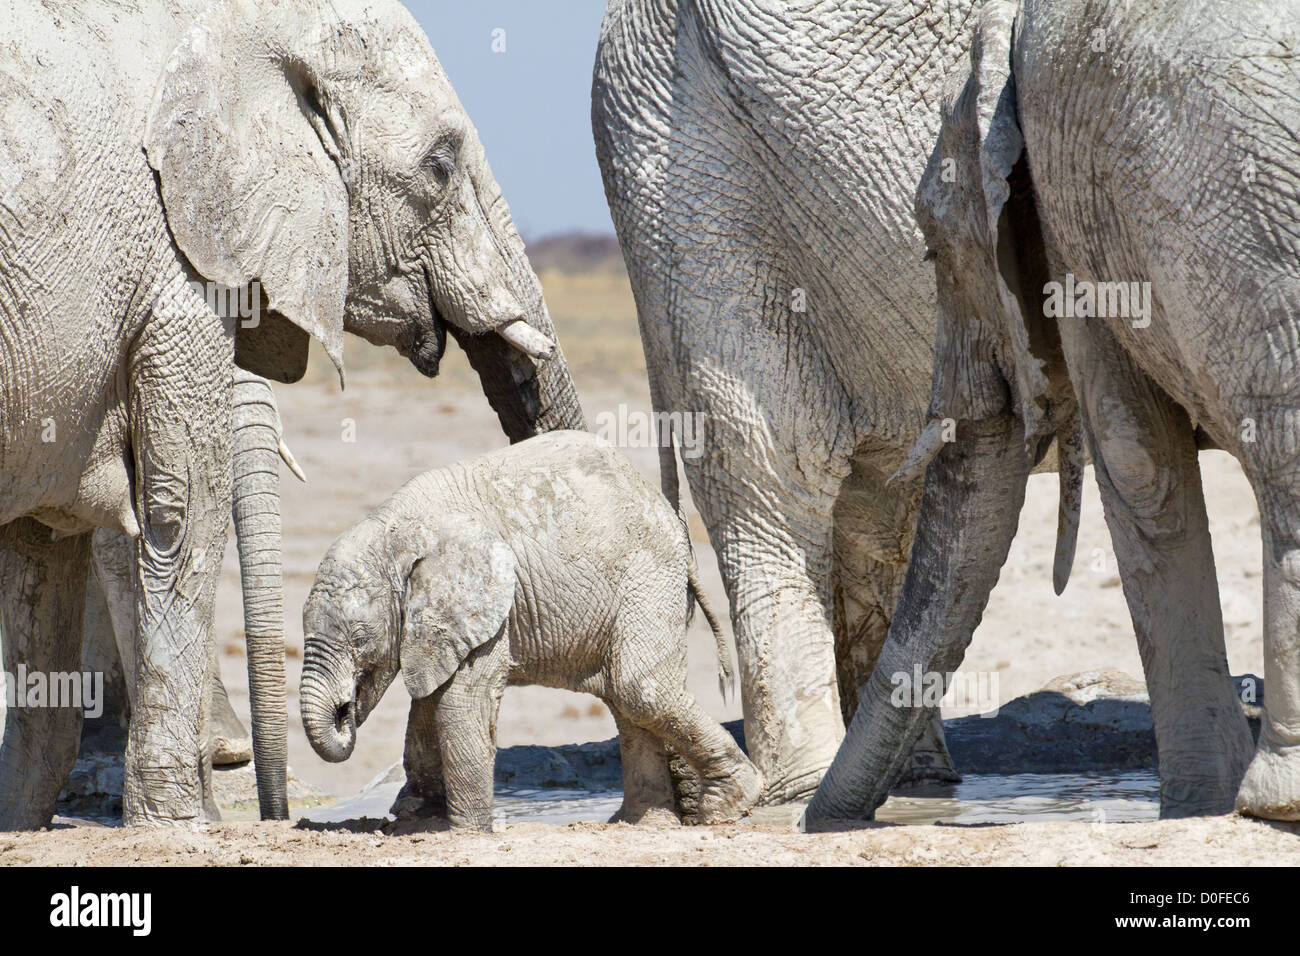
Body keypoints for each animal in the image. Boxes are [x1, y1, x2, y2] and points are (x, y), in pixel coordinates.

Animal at [0, 0, 582, 829]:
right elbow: (180, 509)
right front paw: (182, 824)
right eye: (440, 165)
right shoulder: (173, 257)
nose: (279, 816)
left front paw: (18, 820)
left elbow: (42, 551)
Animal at [300, 431, 763, 831]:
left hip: (647, 576)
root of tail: (669, 516)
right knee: (625, 699)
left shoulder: (486, 607)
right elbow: (427, 705)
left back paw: (726, 807)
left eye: (360, 639)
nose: (344, 712)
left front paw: (466, 832)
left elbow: (460, 703)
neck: (394, 530)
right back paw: (636, 823)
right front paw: (417, 814)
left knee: (639, 688)